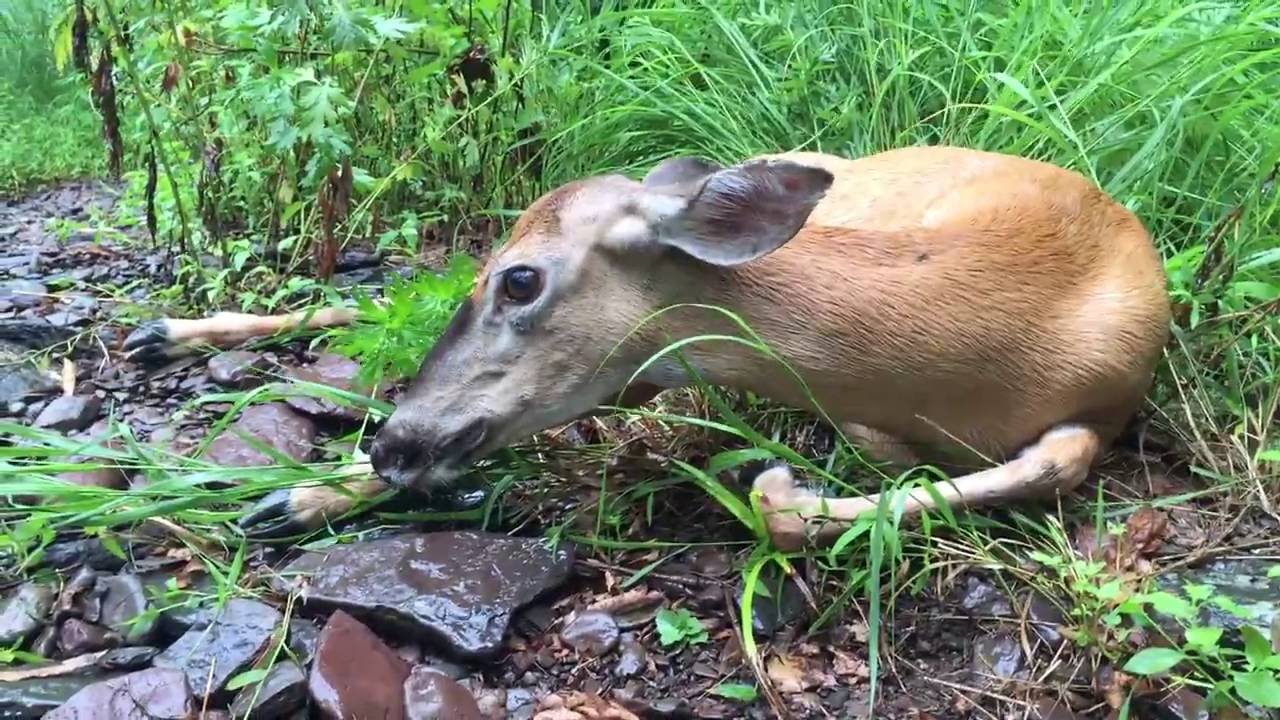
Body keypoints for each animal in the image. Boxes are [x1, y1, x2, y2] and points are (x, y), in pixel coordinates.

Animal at [123, 145, 1171, 549]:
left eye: (522, 281)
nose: (392, 445)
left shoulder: (1108, 401)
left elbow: (1054, 464)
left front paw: (783, 486)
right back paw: (169, 348)